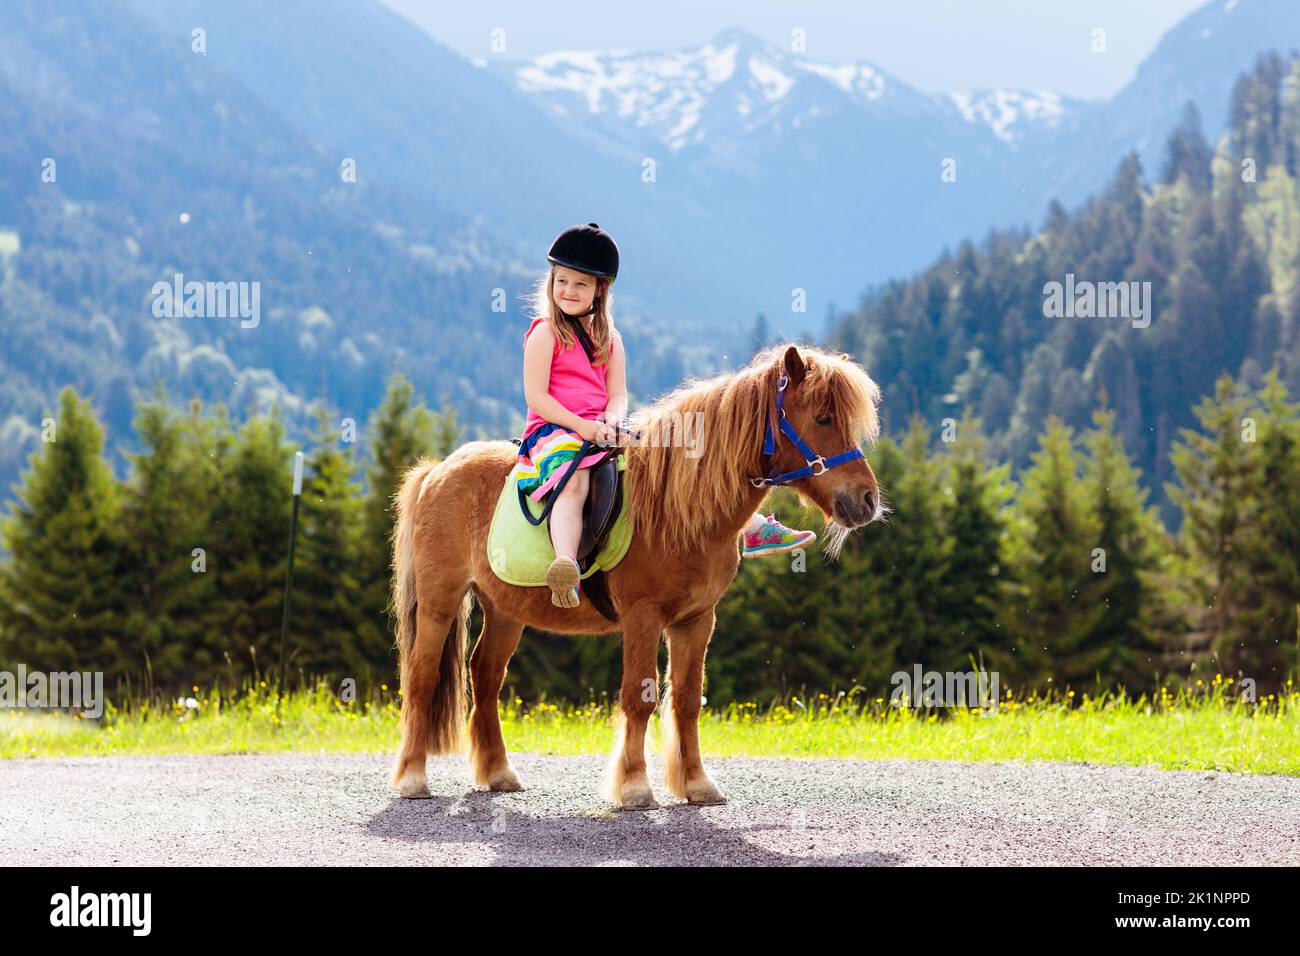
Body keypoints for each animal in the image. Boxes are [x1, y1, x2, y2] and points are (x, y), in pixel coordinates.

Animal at [388, 344, 883, 809]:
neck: (676, 508)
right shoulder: (643, 617)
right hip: (439, 602)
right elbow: (638, 697)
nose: (867, 500)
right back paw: (412, 777)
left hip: (505, 609)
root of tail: (437, 470)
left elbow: (687, 699)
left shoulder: (696, 620)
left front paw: (697, 783)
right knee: (422, 677)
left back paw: (498, 773)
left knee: (486, 675)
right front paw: (633, 787)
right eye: (822, 418)